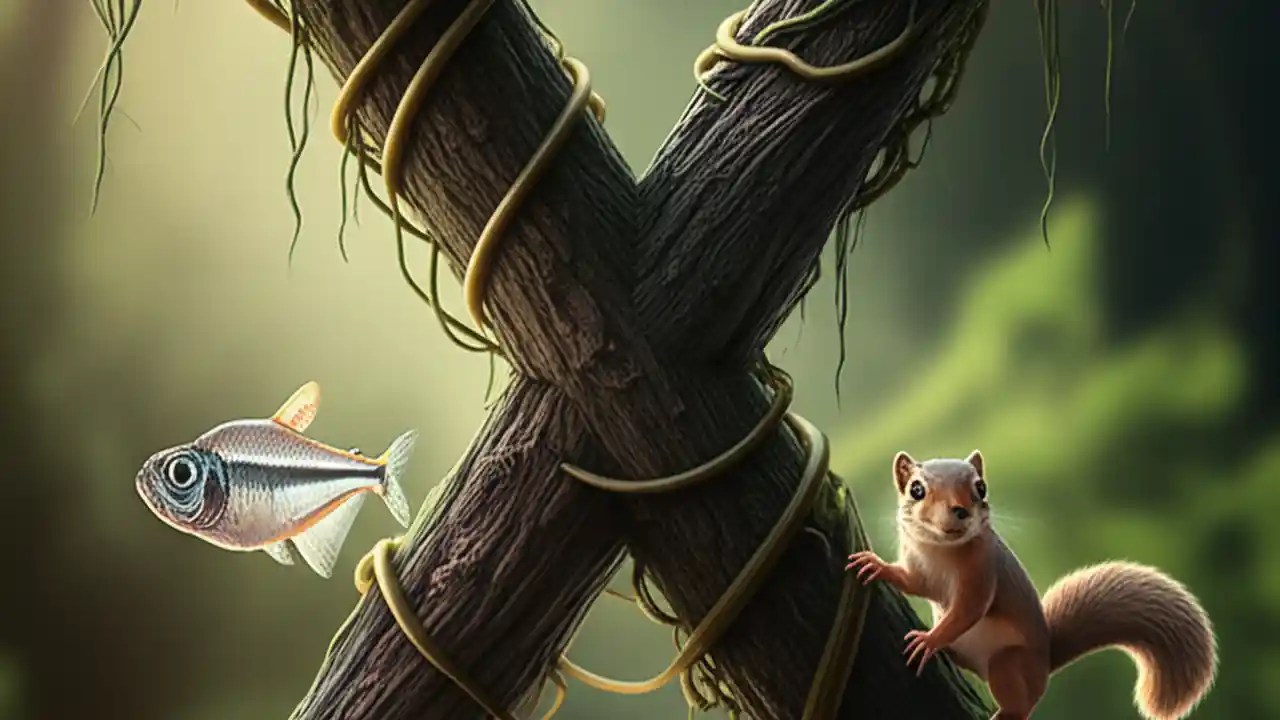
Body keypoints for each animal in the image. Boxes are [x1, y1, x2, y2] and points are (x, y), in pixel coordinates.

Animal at [845, 450, 1218, 720]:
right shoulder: (919, 569)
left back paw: (1003, 712)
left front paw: (930, 639)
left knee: (1021, 707)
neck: (940, 550)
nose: (960, 510)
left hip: (1008, 664)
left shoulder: (982, 573)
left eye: (981, 487)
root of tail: (1045, 666)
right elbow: (913, 584)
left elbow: (968, 610)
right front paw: (876, 565)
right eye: (916, 489)